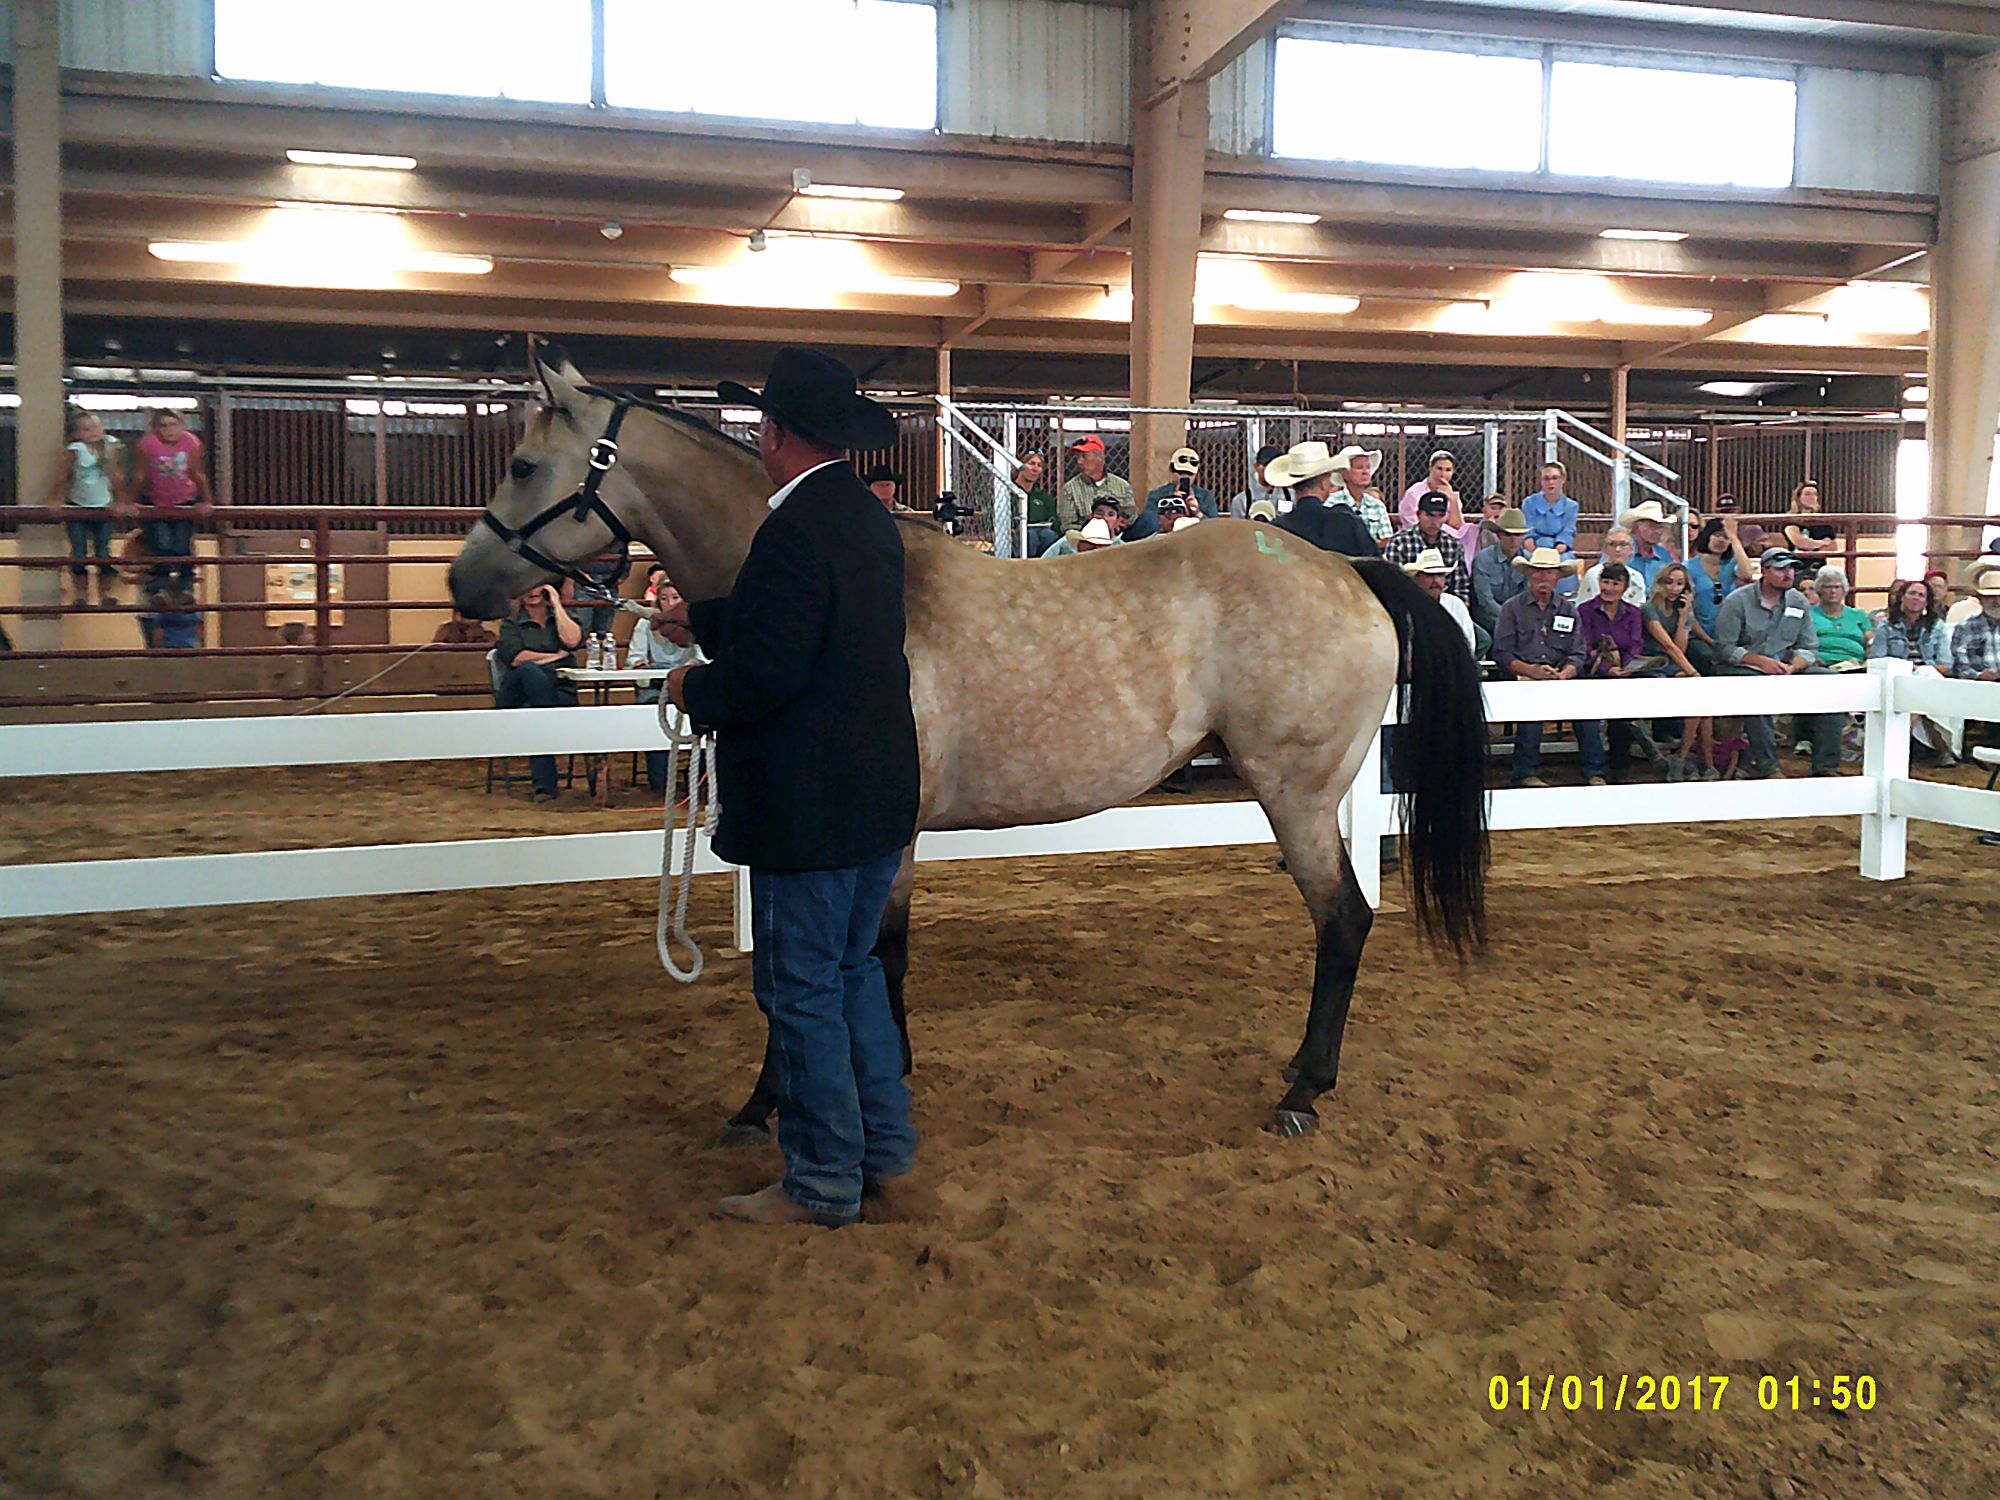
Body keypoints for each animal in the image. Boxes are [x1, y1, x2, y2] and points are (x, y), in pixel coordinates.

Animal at [449, 348, 1490, 1139]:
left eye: (525, 467)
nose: (464, 582)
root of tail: (1351, 570)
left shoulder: (858, 836)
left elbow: (839, 967)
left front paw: (786, 1101)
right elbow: (856, 961)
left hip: (1297, 794)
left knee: (1342, 922)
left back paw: (1302, 1090)